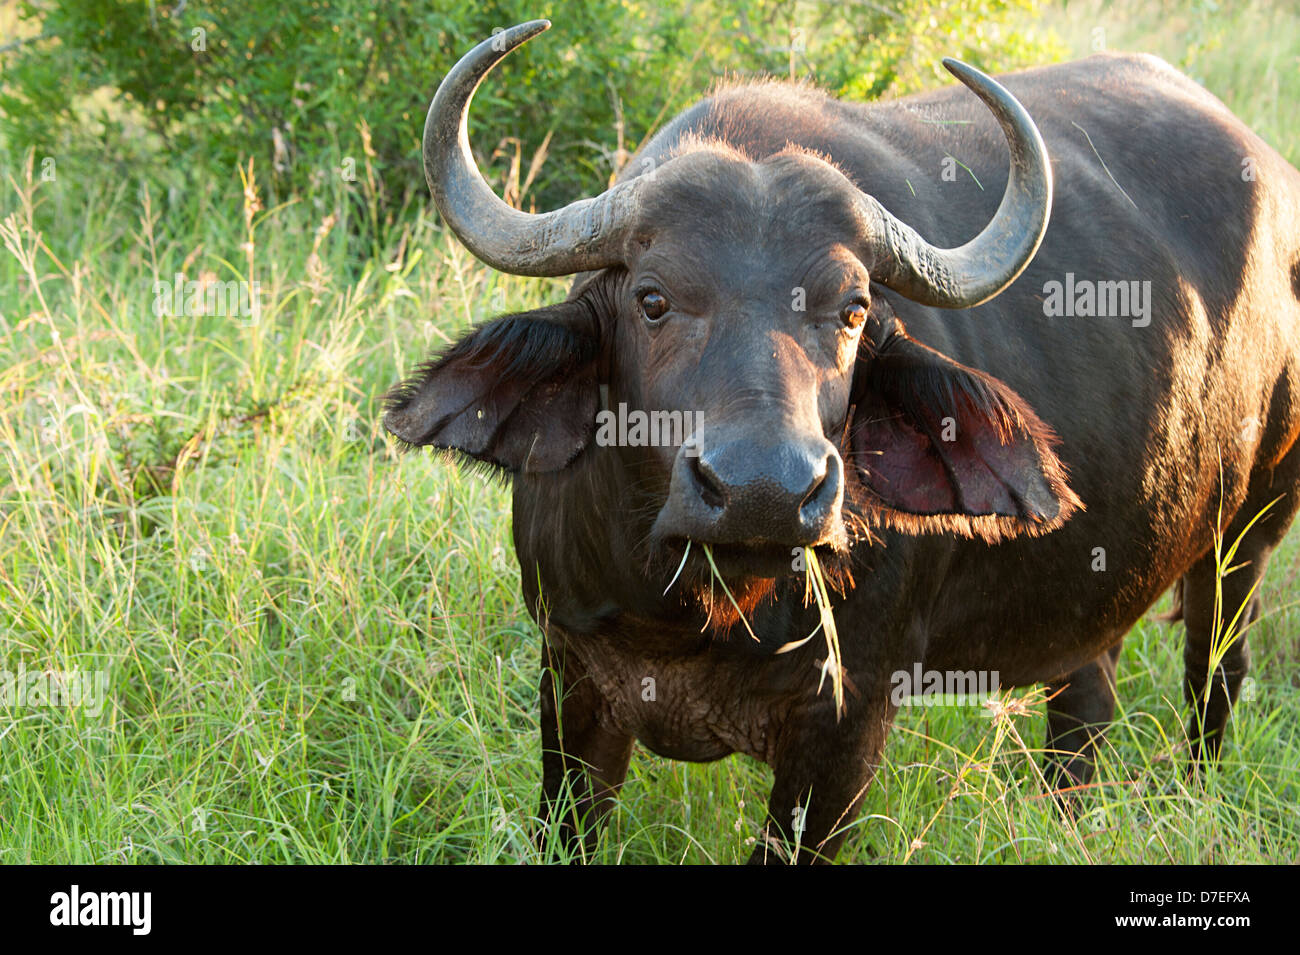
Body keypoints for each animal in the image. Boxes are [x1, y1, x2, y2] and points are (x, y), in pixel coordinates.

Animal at [385, 20, 1300, 863]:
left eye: (853, 309)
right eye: (653, 299)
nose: (765, 491)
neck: (698, 610)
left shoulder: (845, 727)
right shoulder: (571, 680)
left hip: (1246, 537)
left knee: (1215, 674)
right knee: (1086, 704)